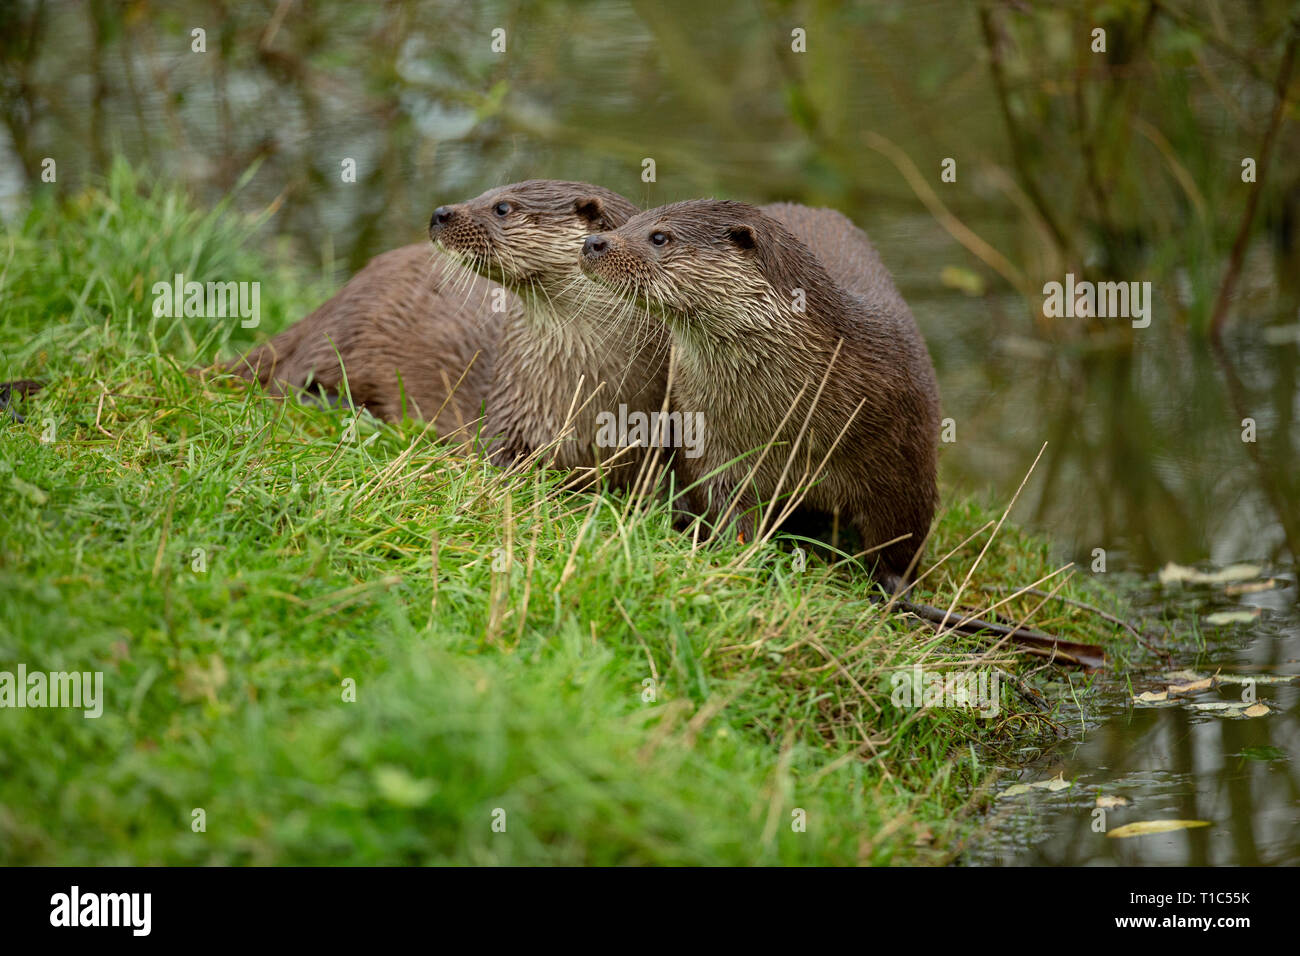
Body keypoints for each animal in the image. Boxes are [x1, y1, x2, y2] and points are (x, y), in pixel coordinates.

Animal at [579, 199, 941, 585]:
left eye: (660, 236)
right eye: (630, 221)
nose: (593, 242)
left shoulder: (905, 458)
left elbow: (901, 539)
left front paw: (894, 588)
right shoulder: (711, 440)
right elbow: (724, 505)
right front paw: (743, 555)